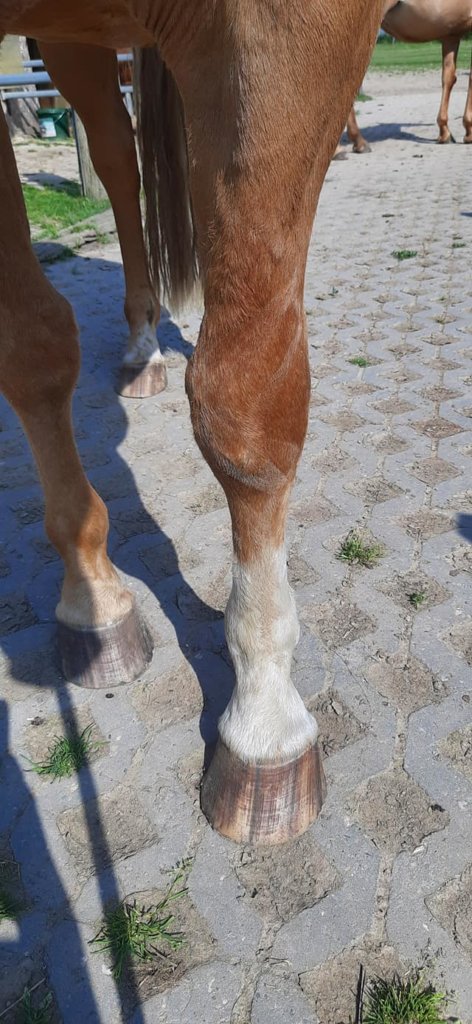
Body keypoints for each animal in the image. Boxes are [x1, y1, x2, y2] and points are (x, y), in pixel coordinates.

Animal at [1, 0, 394, 846]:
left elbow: (245, 407)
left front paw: (264, 719)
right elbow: (30, 345)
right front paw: (92, 597)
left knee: (121, 158)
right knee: (118, 158)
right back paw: (141, 345)